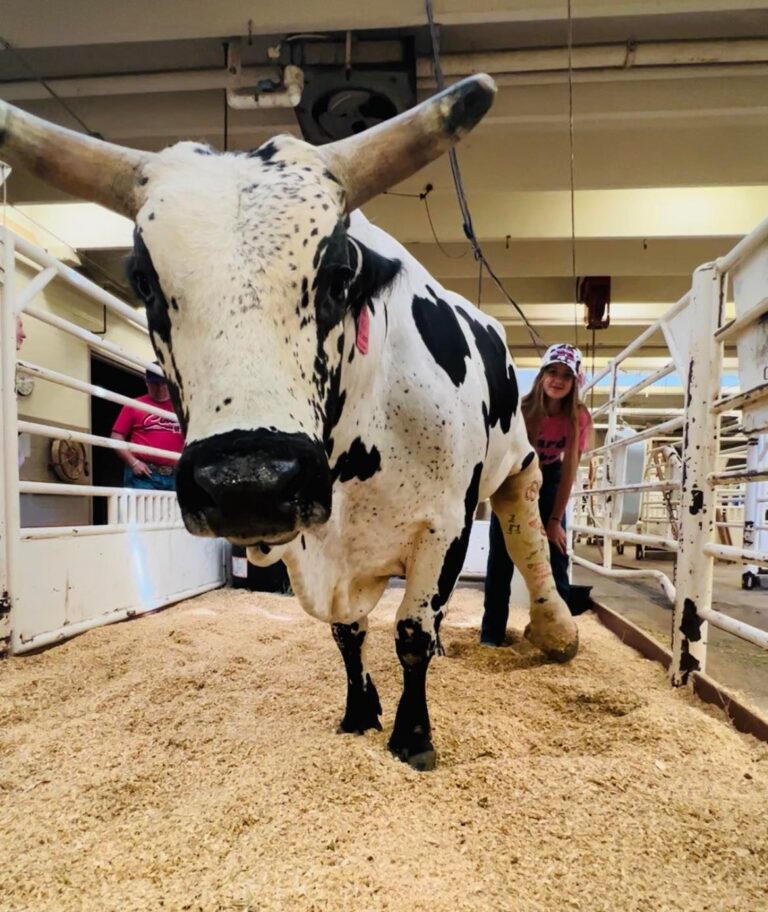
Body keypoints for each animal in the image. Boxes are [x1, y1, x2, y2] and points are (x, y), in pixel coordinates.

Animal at [0, 75, 578, 770]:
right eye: (143, 280)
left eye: (338, 274)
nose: (247, 484)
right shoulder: (316, 551)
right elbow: (346, 633)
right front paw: (360, 712)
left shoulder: (445, 525)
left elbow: (412, 632)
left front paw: (413, 737)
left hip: (515, 457)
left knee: (525, 520)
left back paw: (555, 627)